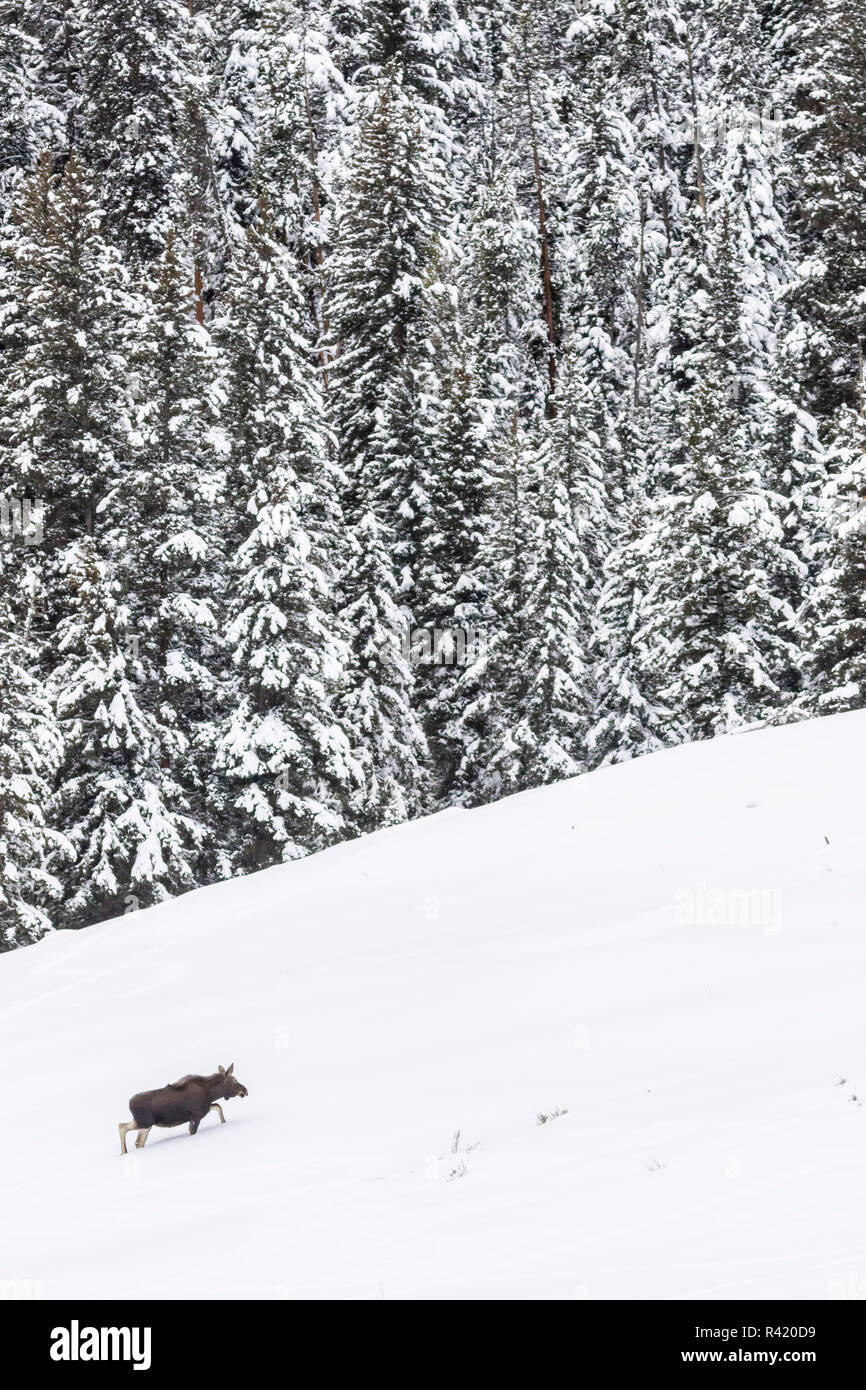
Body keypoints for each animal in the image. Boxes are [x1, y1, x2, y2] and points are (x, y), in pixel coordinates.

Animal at [119, 1064, 248, 1156]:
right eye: (234, 1080)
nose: (245, 1091)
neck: (211, 1093)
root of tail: (129, 1104)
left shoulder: (204, 1109)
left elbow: (218, 1106)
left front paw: (223, 1122)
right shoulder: (196, 1116)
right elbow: (193, 1131)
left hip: (146, 1126)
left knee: (138, 1142)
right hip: (144, 1123)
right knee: (122, 1127)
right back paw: (123, 1153)